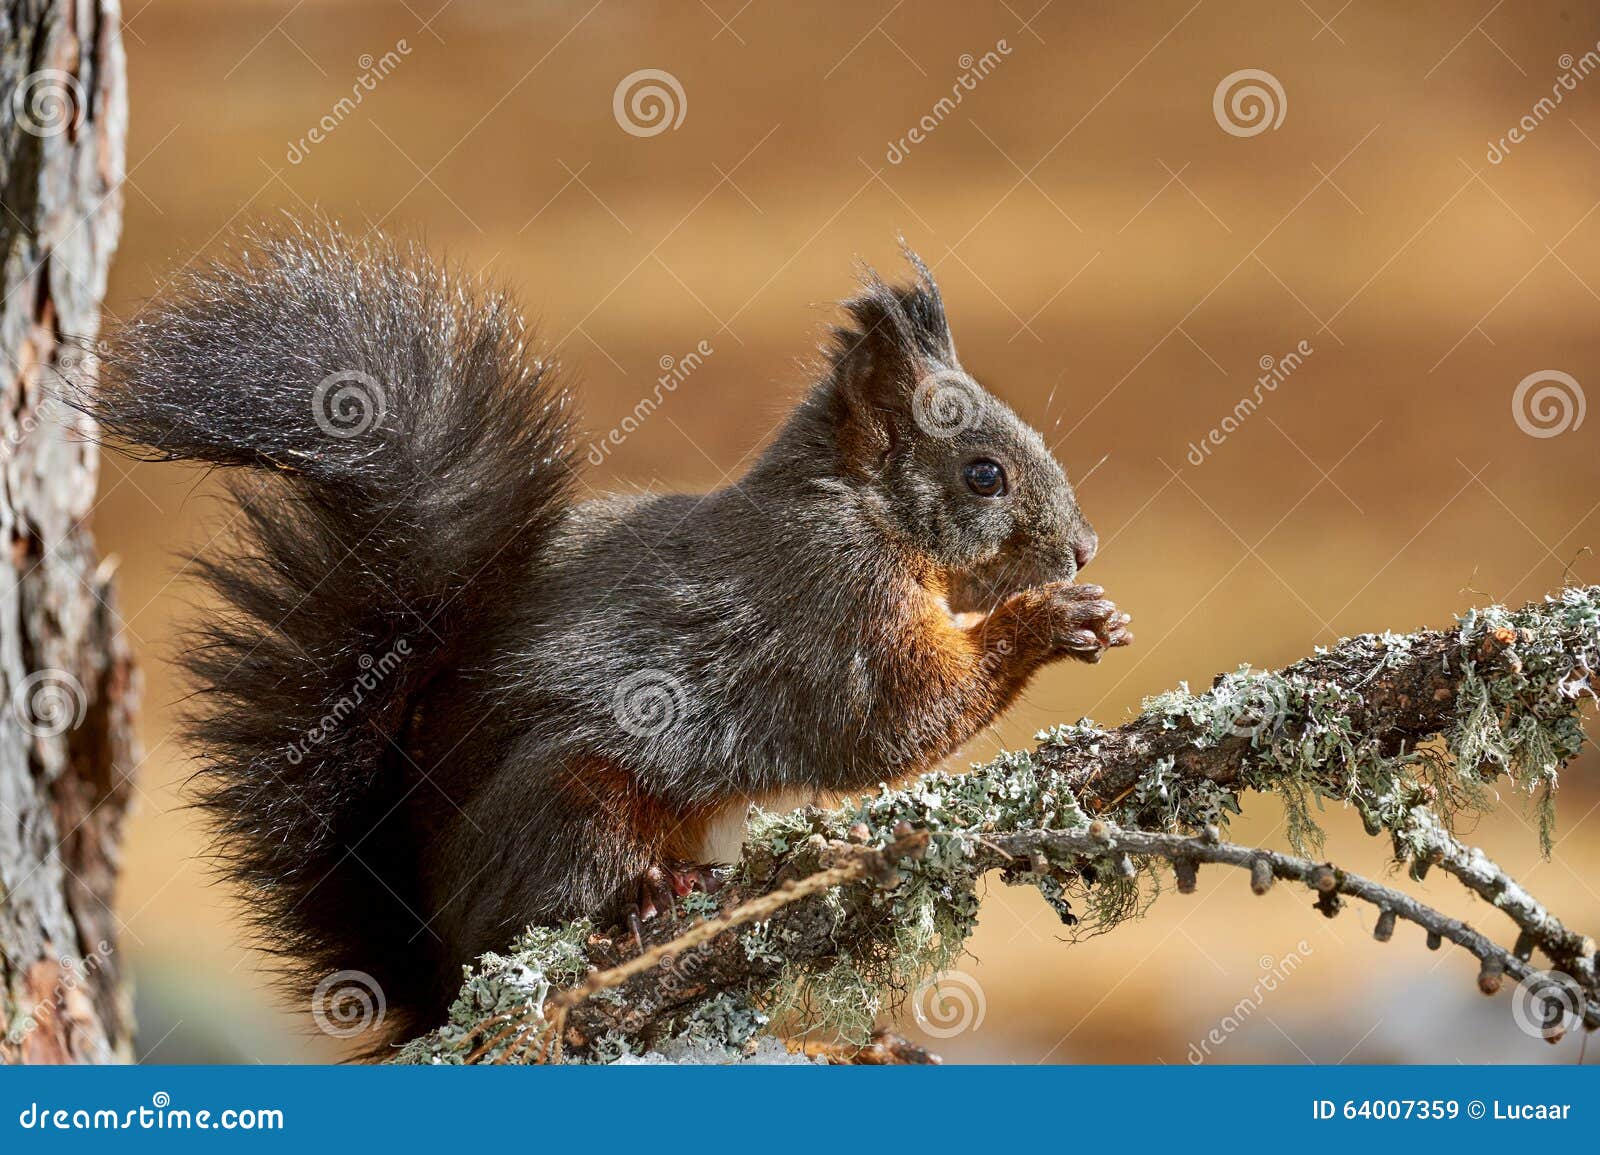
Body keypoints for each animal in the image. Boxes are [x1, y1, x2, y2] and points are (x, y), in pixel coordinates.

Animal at [88, 223, 1131, 1047]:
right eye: (985, 474)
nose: (1082, 547)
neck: (856, 506)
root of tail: (439, 959)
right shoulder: (830, 607)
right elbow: (899, 718)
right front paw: (1054, 619)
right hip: (572, 793)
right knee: (548, 906)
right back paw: (640, 898)